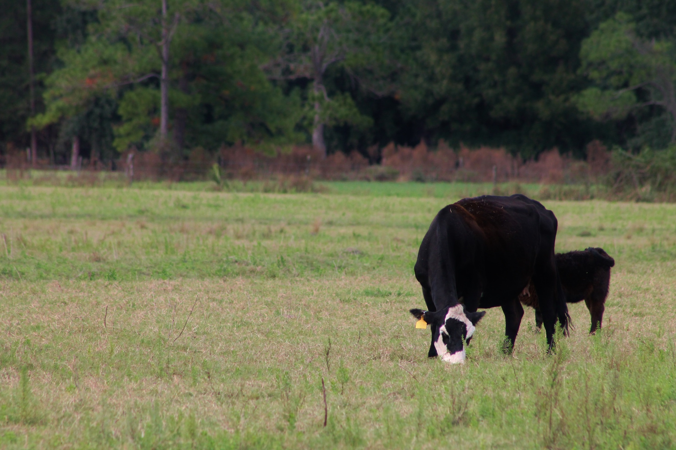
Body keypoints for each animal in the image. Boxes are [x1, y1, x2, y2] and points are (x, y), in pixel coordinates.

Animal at [410, 194, 569, 364]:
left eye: (467, 335)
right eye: (445, 335)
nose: (457, 361)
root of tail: (541, 208)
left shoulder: (474, 289)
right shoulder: (426, 288)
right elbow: (431, 322)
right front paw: (432, 355)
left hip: (545, 271)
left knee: (548, 312)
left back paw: (550, 352)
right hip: (507, 284)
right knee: (515, 314)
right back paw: (505, 352)